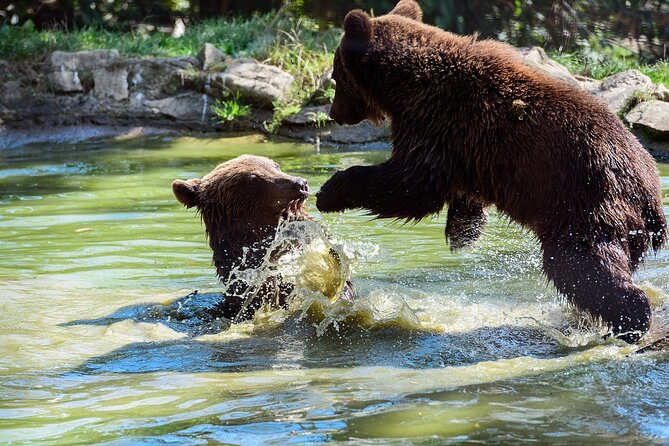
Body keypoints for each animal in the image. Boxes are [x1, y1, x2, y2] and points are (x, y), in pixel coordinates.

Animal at [315, 0, 667, 343]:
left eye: (336, 77)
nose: (334, 113)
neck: (404, 85)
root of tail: (649, 190)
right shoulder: (466, 147)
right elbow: (451, 189)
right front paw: (463, 230)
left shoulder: (436, 121)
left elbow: (412, 183)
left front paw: (330, 191)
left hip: (584, 201)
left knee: (582, 265)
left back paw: (629, 323)